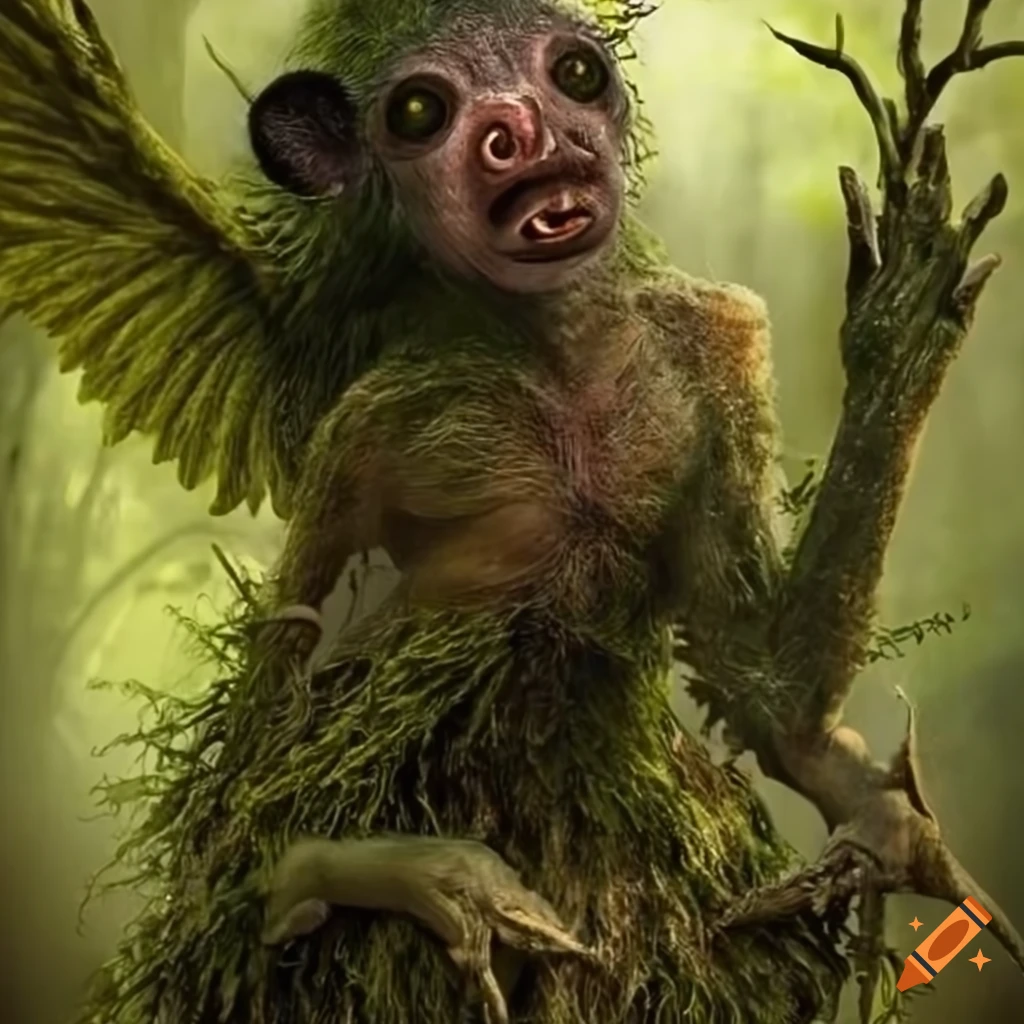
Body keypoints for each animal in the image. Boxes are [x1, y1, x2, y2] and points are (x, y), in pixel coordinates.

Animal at [0, 1, 845, 1022]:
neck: (553, 348)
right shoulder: (360, 421)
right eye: (417, 111)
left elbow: (739, 651)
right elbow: (276, 675)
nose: (519, 126)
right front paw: (430, 876)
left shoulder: (724, 341)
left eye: (575, 71)